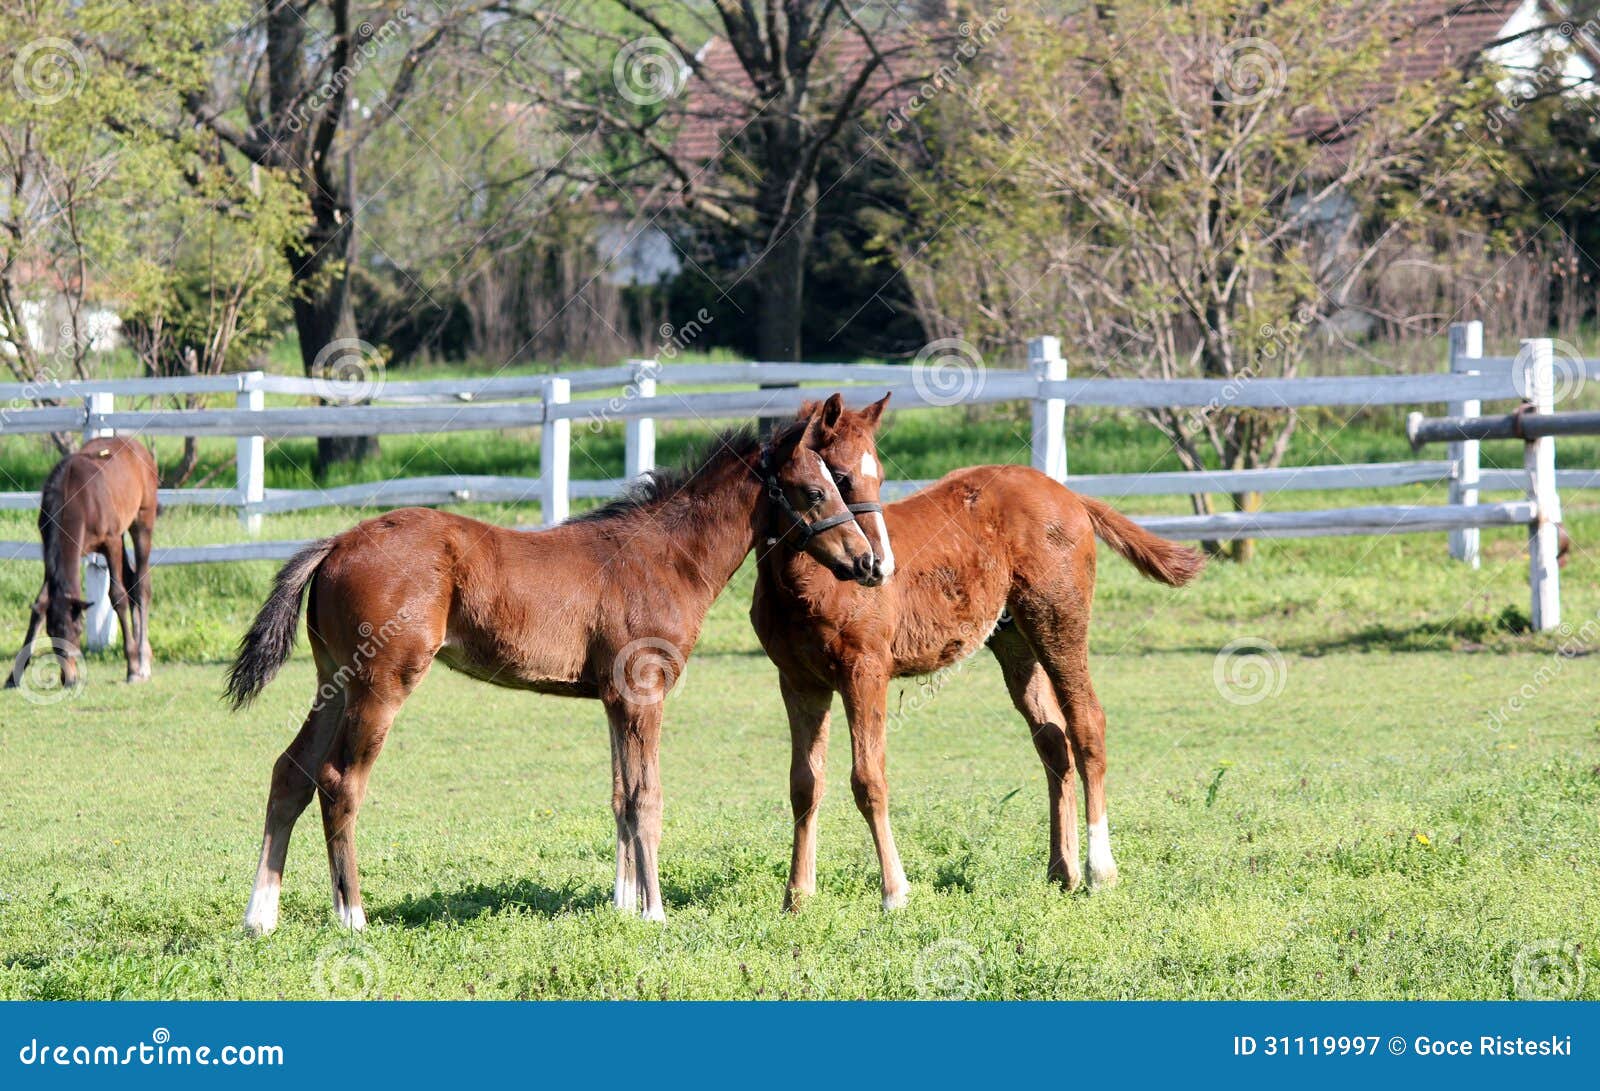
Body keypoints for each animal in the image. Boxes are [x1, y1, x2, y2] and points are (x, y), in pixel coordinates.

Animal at [6, 437, 158, 691]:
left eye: (78, 631)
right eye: (51, 632)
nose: (69, 679)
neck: (75, 497)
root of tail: (136, 445)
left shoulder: (111, 541)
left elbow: (117, 596)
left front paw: (132, 668)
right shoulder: (49, 546)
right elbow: (41, 602)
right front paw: (13, 676)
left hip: (142, 521)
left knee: (141, 586)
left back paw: (143, 662)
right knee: (132, 579)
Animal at [223, 392, 893, 934]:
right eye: (819, 489)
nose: (868, 564)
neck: (666, 557)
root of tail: (335, 543)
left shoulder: (615, 699)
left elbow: (621, 795)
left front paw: (625, 905)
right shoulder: (644, 693)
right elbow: (647, 797)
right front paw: (655, 912)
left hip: (334, 680)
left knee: (290, 772)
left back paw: (260, 917)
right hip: (381, 683)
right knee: (339, 781)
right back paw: (352, 917)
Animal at [750, 402, 1206, 910]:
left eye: (875, 477)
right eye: (834, 480)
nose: (877, 565)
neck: (805, 583)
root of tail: (1067, 493)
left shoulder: (864, 671)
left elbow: (868, 778)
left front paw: (894, 895)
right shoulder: (798, 681)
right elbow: (804, 783)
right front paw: (796, 899)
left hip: (1057, 621)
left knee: (1087, 722)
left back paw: (1098, 870)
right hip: (1013, 641)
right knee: (1053, 737)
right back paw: (1060, 870)